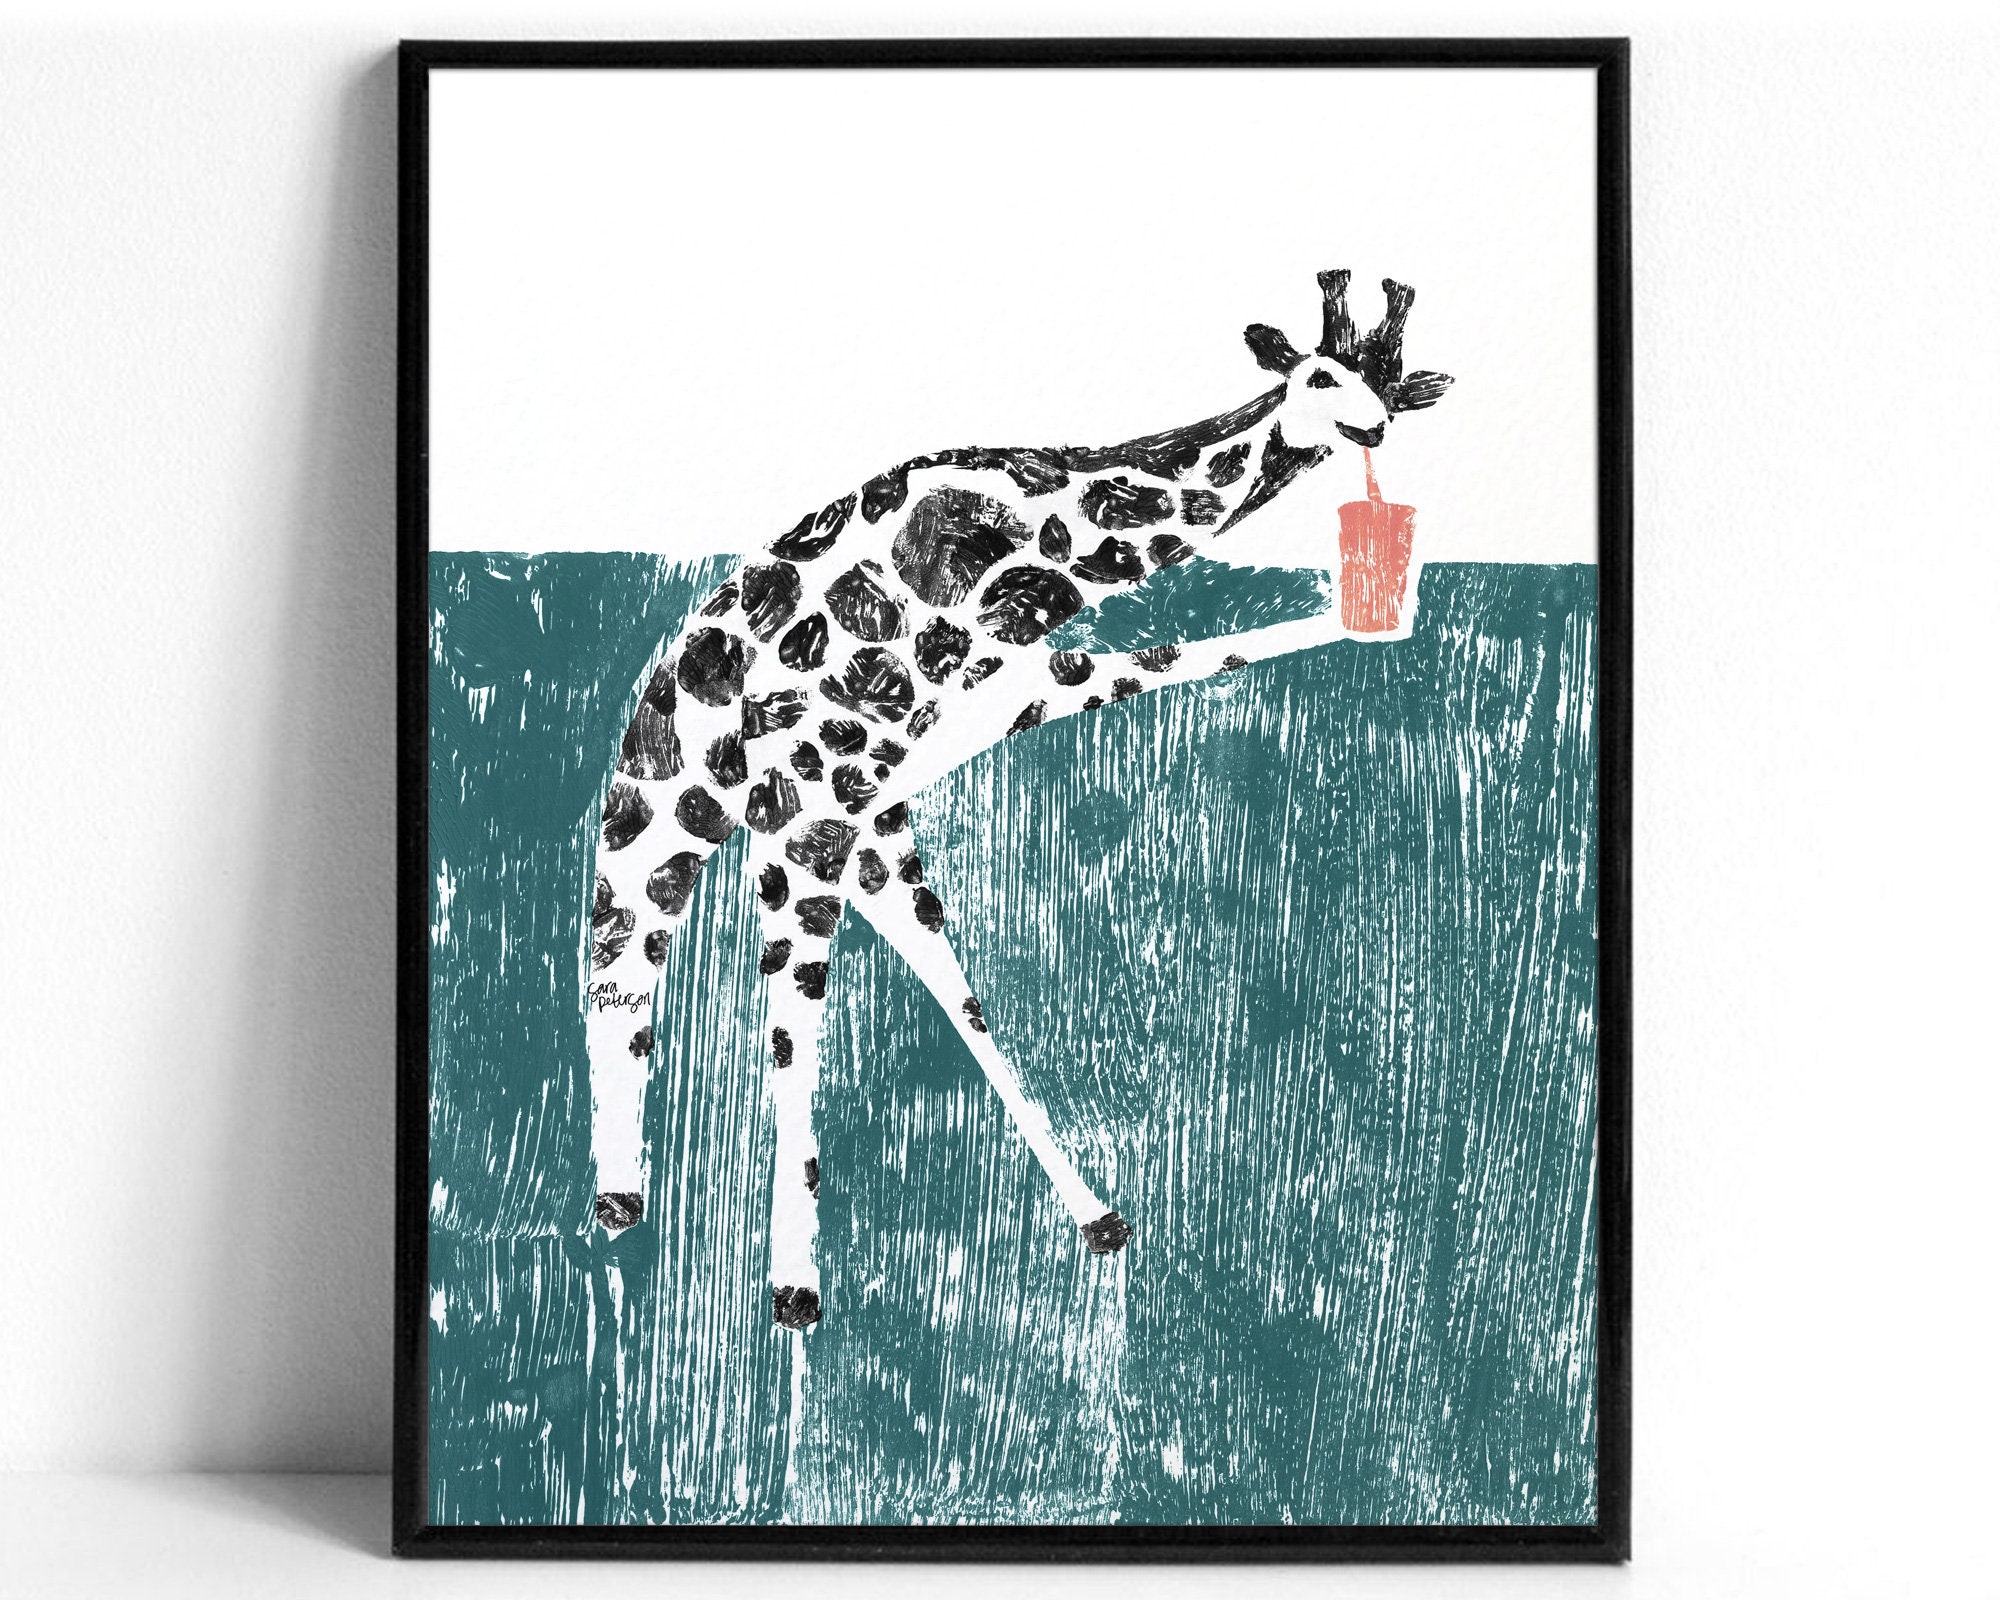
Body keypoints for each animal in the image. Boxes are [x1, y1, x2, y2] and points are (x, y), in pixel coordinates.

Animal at [584, 269, 1453, 1329]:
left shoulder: (996, 710)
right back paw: (645, 1219)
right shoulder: (812, 812)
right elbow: (792, 1036)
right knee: (631, 975)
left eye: (1396, 385)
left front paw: (1375, 612)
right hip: (683, 823)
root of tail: (655, 689)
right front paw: (794, 1288)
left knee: (926, 984)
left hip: (859, 834)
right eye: (1321, 374)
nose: (1371, 430)